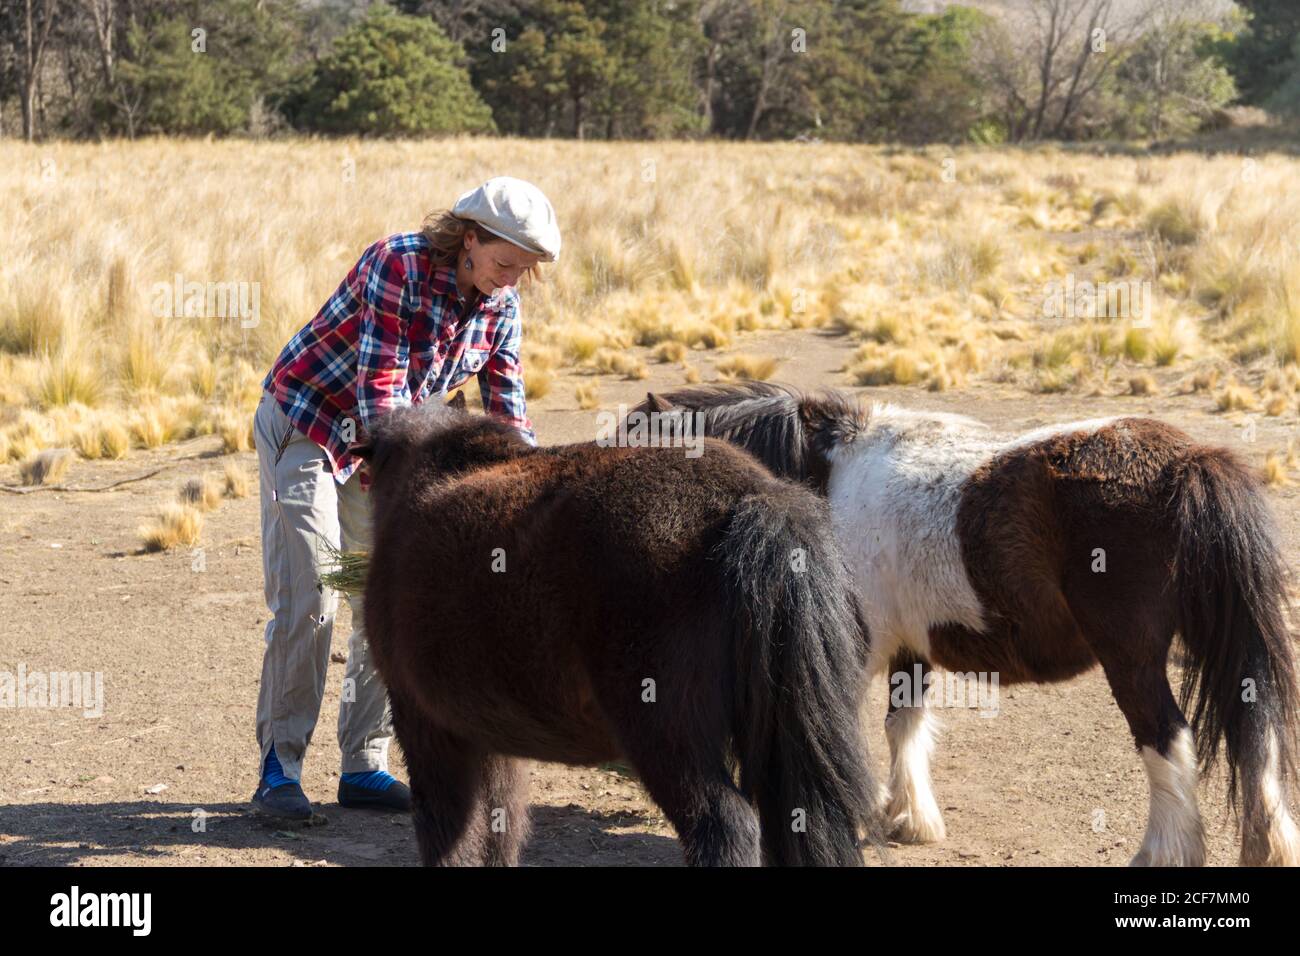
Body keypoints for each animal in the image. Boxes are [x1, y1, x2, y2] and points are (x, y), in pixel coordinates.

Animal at [348, 398, 880, 866]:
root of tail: (754, 497)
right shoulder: (489, 740)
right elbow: (500, 825)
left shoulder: (426, 726)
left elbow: (447, 833)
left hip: (665, 736)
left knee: (726, 828)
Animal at [632, 381, 1300, 867]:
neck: (831, 477)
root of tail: (1190, 461)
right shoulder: (910, 644)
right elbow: (903, 724)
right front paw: (909, 817)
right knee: (1258, 735)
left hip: (1131, 660)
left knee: (1168, 741)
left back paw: (1163, 855)